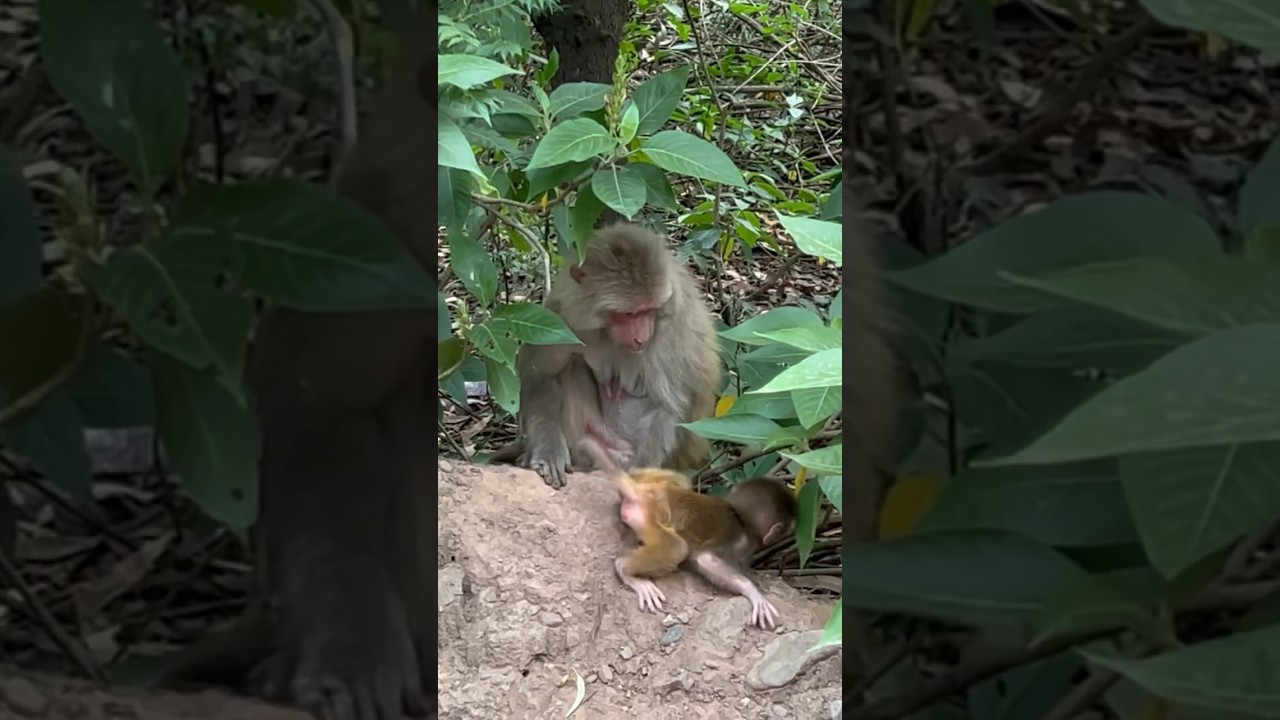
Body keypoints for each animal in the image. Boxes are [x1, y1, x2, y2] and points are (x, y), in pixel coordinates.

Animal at [510, 223, 722, 488]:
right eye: (629, 314)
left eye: (648, 310)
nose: (642, 337)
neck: (608, 331)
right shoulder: (562, 317)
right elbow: (540, 374)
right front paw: (549, 451)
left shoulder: (671, 330)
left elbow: (670, 405)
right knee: (570, 366)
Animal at [578, 437, 796, 630]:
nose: (787, 532)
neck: (739, 516)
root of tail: (642, 491)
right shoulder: (739, 543)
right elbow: (708, 561)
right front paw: (753, 591)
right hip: (646, 518)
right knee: (677, 549)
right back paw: (626, 570)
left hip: (653, 479)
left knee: (680, 480)